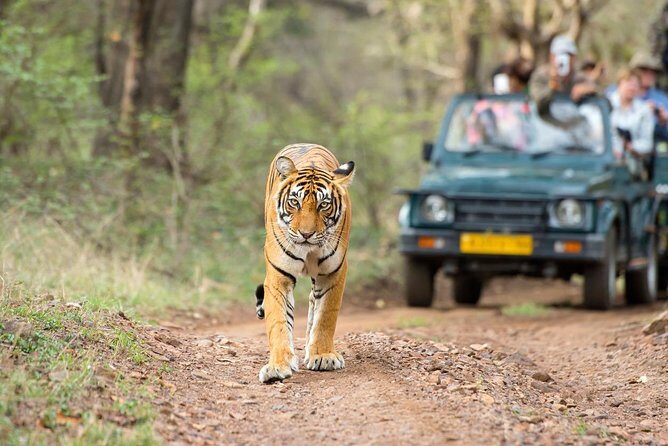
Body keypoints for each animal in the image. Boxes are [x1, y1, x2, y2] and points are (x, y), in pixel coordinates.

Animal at [255, 143, 355, 383]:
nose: (306, 234)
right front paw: (277, 366)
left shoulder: (333, 273)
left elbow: (326, 315)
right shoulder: (278, 275)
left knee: (313, 303)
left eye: (324, 205)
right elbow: (279, 321)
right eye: (295, 202)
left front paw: (323, 355)